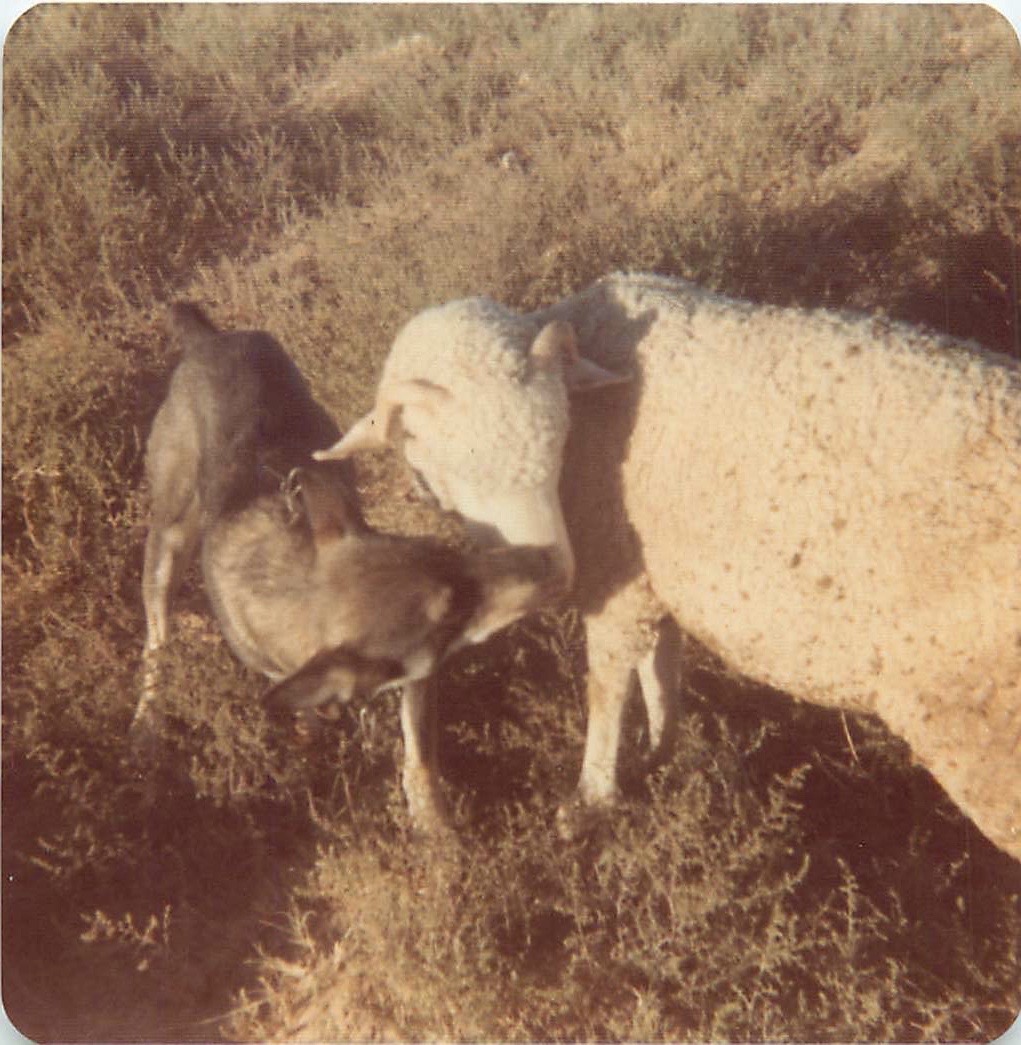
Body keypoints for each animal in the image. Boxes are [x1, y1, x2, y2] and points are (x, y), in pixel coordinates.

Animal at [317, 272, 1021, 860]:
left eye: (558, 441)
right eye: (446, 468)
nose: (551, 575)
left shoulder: (619, 581)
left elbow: (606, 686)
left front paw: (590, 802)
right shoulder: (655, 582)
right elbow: (663, 673)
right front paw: (663, 757)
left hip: (983, 736)